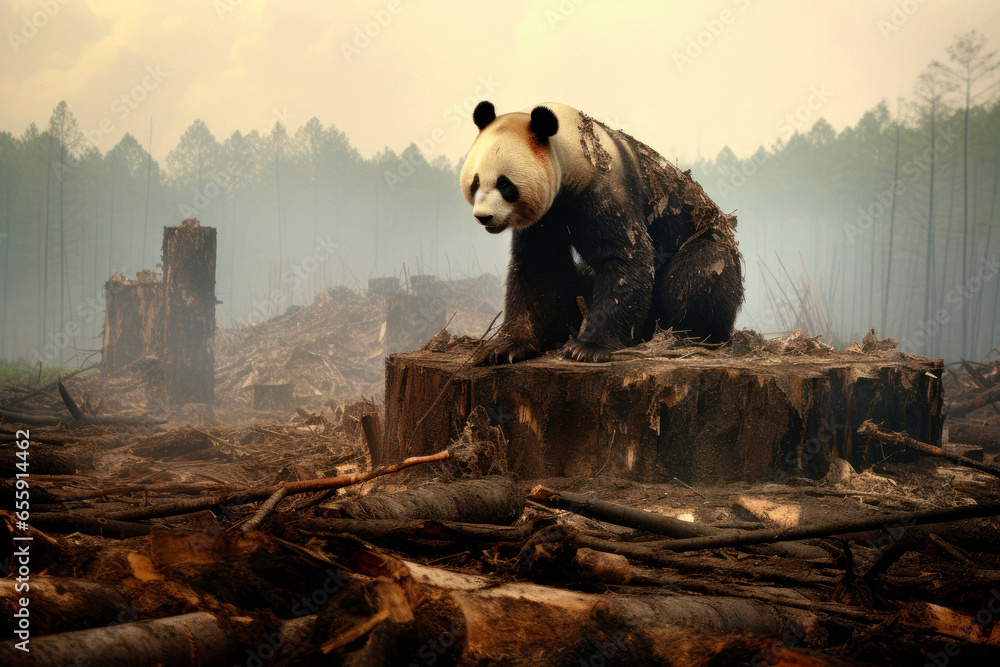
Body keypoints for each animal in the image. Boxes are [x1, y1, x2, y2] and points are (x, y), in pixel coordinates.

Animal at [460, 101, 743, 364]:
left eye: (504, 184)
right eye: (476, 181)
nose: (484, 217)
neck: (572, 148)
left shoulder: (605, 186)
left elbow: (625, 258)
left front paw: (588, 348)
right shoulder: (546, 215)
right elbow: (538, 268)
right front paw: (505, 348)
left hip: (704, 238)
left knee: (699, 274)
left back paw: (681, 335)